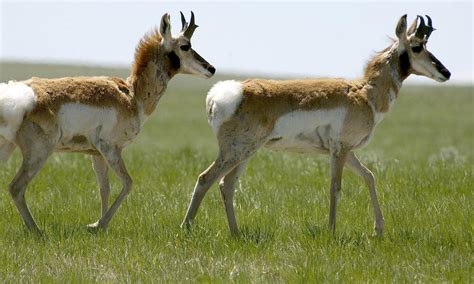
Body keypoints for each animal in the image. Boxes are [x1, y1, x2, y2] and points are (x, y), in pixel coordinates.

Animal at [0, 11, 215, 233]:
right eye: (185, 46)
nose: (212, 69)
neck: (131, 96)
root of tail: (14, 95)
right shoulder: (110, 148)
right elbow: (128, 183)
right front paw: (98, 224)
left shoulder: (96, 155)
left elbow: (104, 188)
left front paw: (100, 225)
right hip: (39, 153)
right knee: (16, 187)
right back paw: (37, 231)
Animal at [181, 15, 452, 235]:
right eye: (417, 47)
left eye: (427, 45)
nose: (446, 73)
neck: (365, 93)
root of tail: (222, 93)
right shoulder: (340, 150)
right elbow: (336, 187)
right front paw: (331, 231)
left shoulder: (347, 152)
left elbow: (370, 176)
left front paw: (379, 230)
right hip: (236, 152)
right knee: (206, 179)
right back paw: (187, 228)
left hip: (246, 153)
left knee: (226, 185)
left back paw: (236, 233)